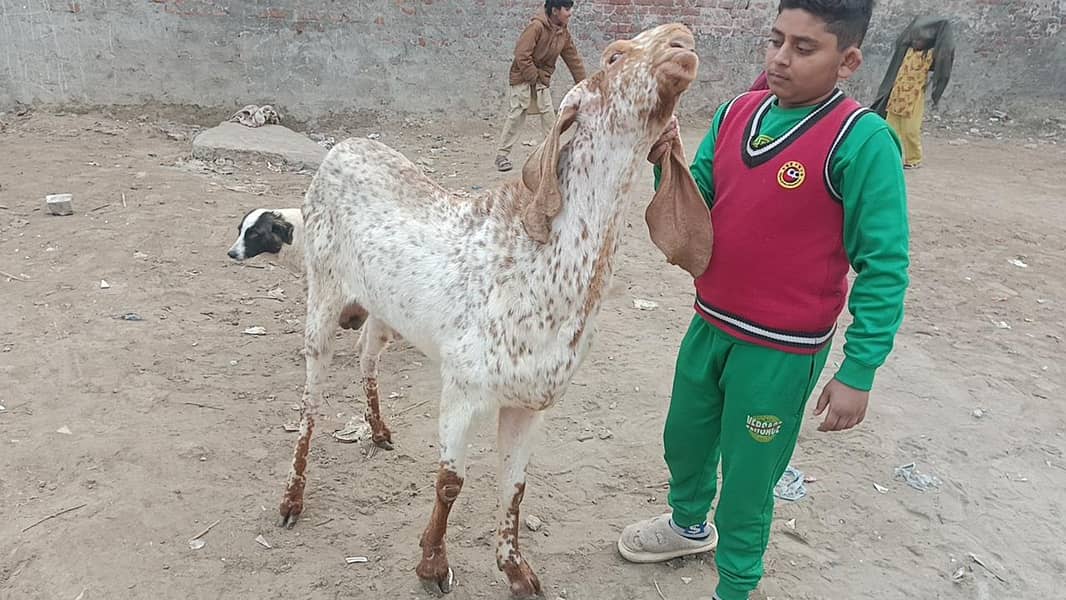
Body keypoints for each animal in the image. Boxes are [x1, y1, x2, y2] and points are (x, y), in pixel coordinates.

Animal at [278, 23, 712, 598]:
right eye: (615, 56)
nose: (682, 40)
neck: (536, 268)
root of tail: (341, 148)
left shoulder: (531, 403)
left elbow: (515, 488)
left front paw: (517, 571)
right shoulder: (463, 389)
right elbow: (450, 482)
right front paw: (432, 566)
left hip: (384, 311)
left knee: (368, 353)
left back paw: (378, 430)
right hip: (323, 293)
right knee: (309, 401)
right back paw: (292, 499)